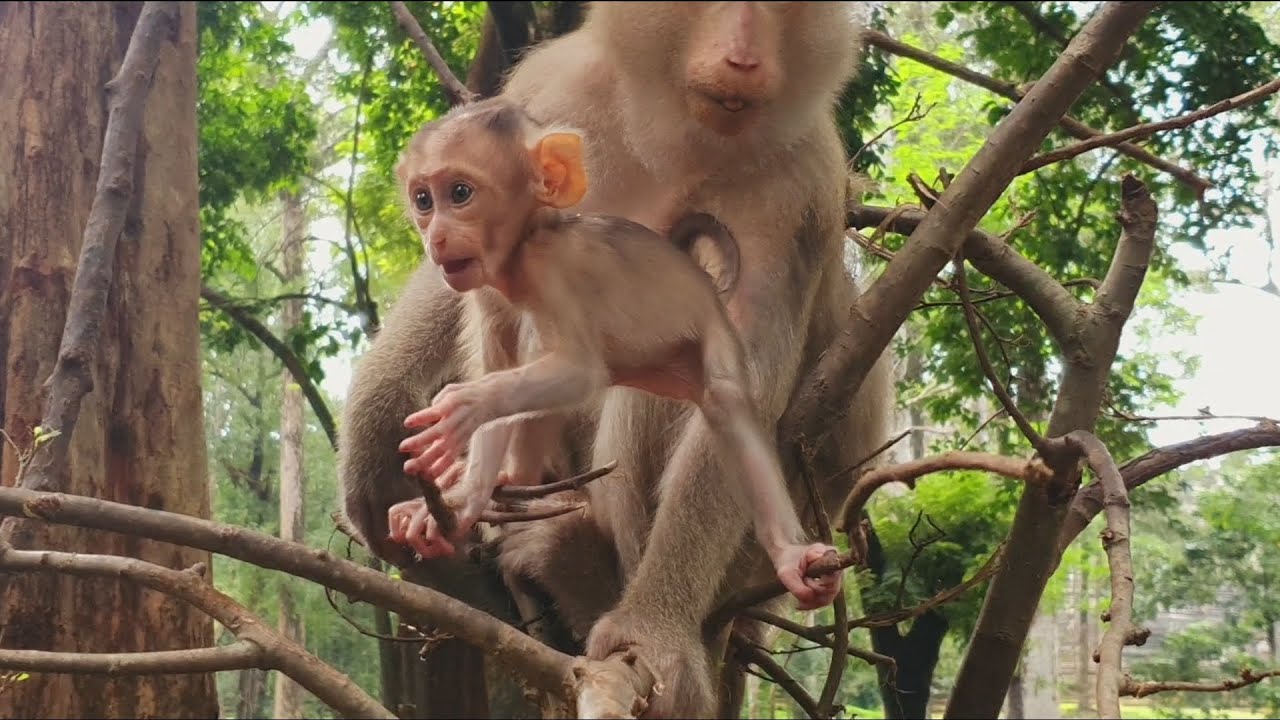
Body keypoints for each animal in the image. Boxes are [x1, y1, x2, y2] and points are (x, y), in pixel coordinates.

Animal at [381, 97, 842, 611]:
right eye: (423, 200)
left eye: (460, 193)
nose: (436, 236)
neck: (525, 249)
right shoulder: (487, 291)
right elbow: (505, 368)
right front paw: (467, 497)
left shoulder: (551, 270)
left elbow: (582, 372)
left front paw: (467, 405)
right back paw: (515, 477)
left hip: (712, 335)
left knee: (722, 400)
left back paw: (786, 552)